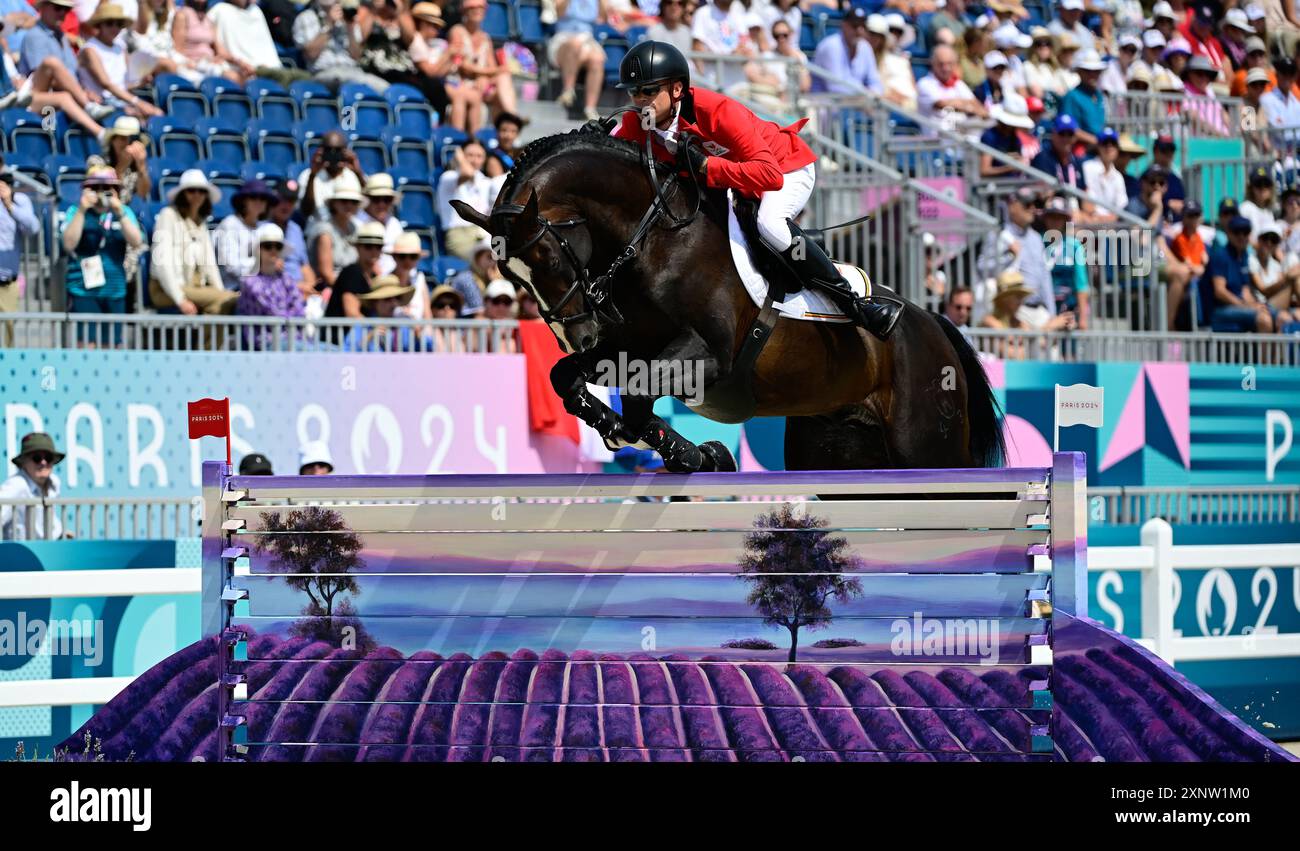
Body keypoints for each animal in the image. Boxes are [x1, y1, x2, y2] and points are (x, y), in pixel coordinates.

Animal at [451, 127, 1004, 473]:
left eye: (545, 258)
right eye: (510, 275)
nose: (577, 334)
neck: (652, 239)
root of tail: (932, 322)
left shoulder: (708, 356)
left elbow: (638, 398)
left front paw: (694, 453)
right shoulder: (628, 349)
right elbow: (567, 379)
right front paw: (676, 448)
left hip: (926, 445)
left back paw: (877, 312)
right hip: (837, 446)